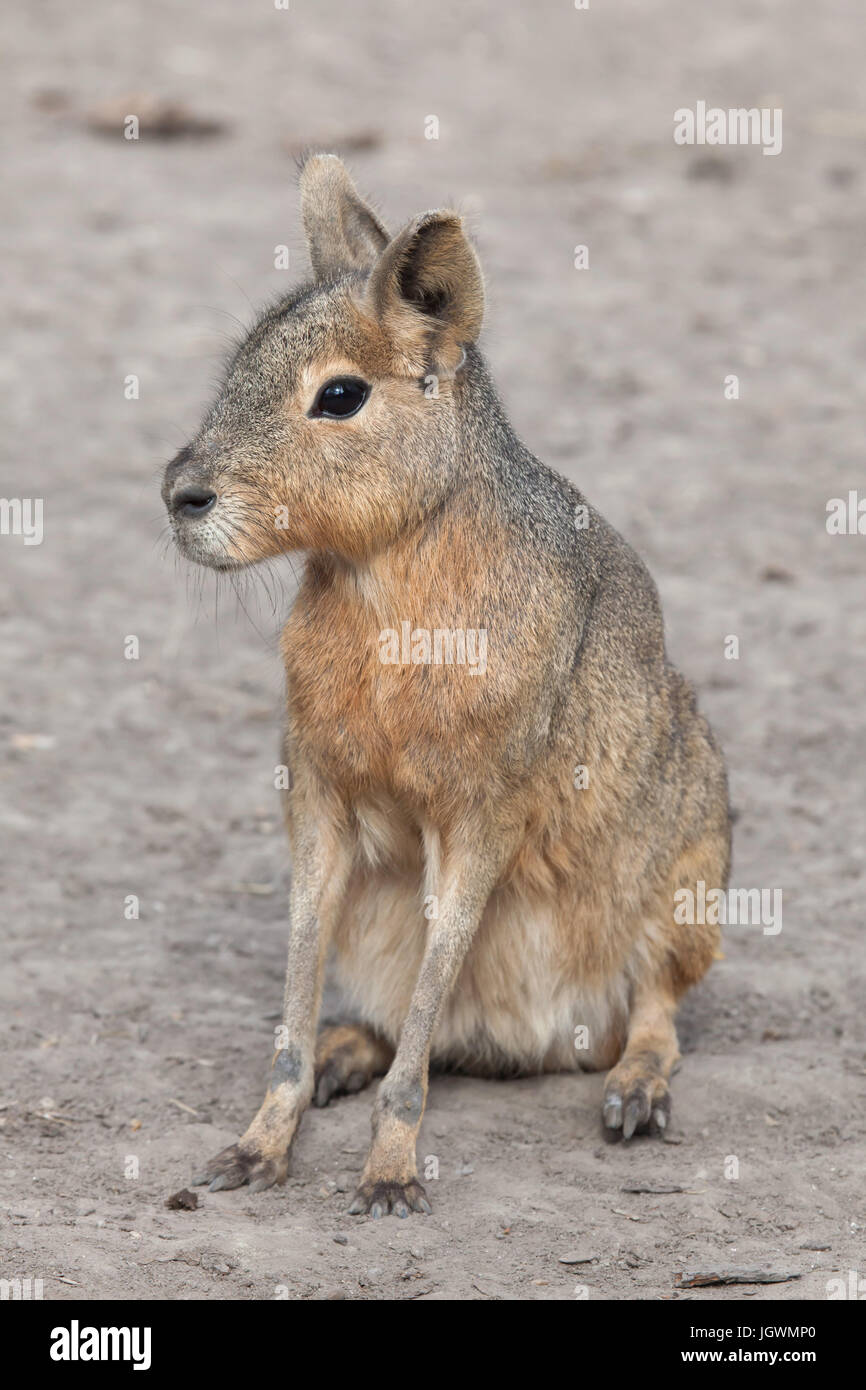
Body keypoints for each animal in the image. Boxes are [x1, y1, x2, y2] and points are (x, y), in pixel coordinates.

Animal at [162, 154, 731, 1218]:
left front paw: (390, 1170)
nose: (180, 497)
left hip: (688, 884)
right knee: (403, 1020)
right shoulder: (317, 791)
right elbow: (299, 979)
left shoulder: (482, 809)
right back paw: (347, 1052)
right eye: (239, 363)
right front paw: (257, 1146)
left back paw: (634, 1093)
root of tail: (537, 1046)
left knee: (657, 1011)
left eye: (340, 395)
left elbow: (439, 975)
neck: (388, 588)